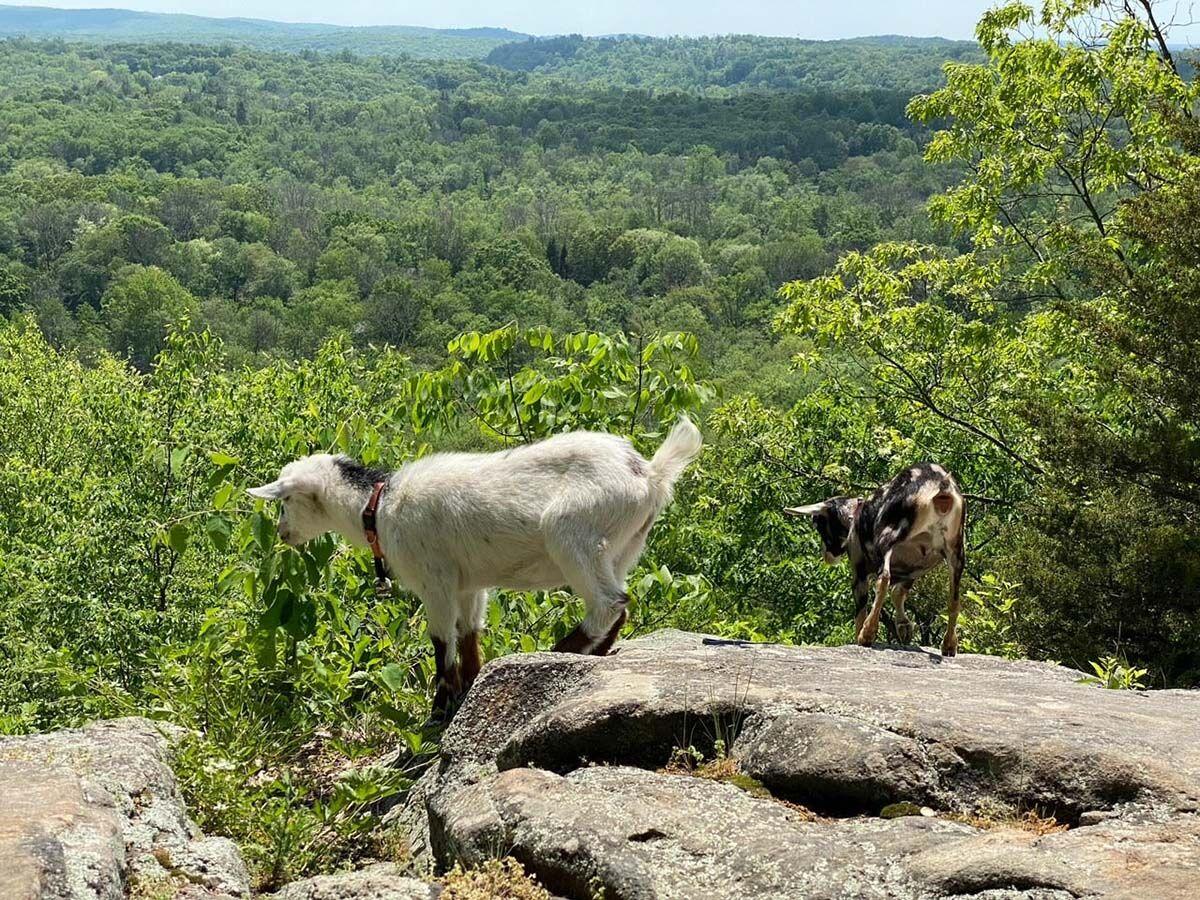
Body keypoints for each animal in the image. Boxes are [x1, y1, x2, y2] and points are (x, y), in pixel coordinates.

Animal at [248, 418, 702, 712]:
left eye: (285, 501)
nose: (282, 533)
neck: (379, 506)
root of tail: (650, 475)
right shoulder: (469, 584)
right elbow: (468, 634)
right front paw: (471, 684)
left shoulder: (436, 580)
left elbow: (440, 641)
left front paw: (441, 704)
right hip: (624, 548)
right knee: (619, 602)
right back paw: (592, 656)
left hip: (573, 535)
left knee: (608, 602)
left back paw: (556, 653)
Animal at [784, 463, 966, 657]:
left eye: (818, 524)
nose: (827, 556)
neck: (855, 516)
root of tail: (941, 487)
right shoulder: (912, 568)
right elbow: (898, 593)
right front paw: (904, 627)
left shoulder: (859, 572)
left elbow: (861, 611)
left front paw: (860, 634)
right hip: (955, 551)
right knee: (954, 600)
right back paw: (949, 645)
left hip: (888, 538)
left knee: (883, 579)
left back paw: (867, 634)